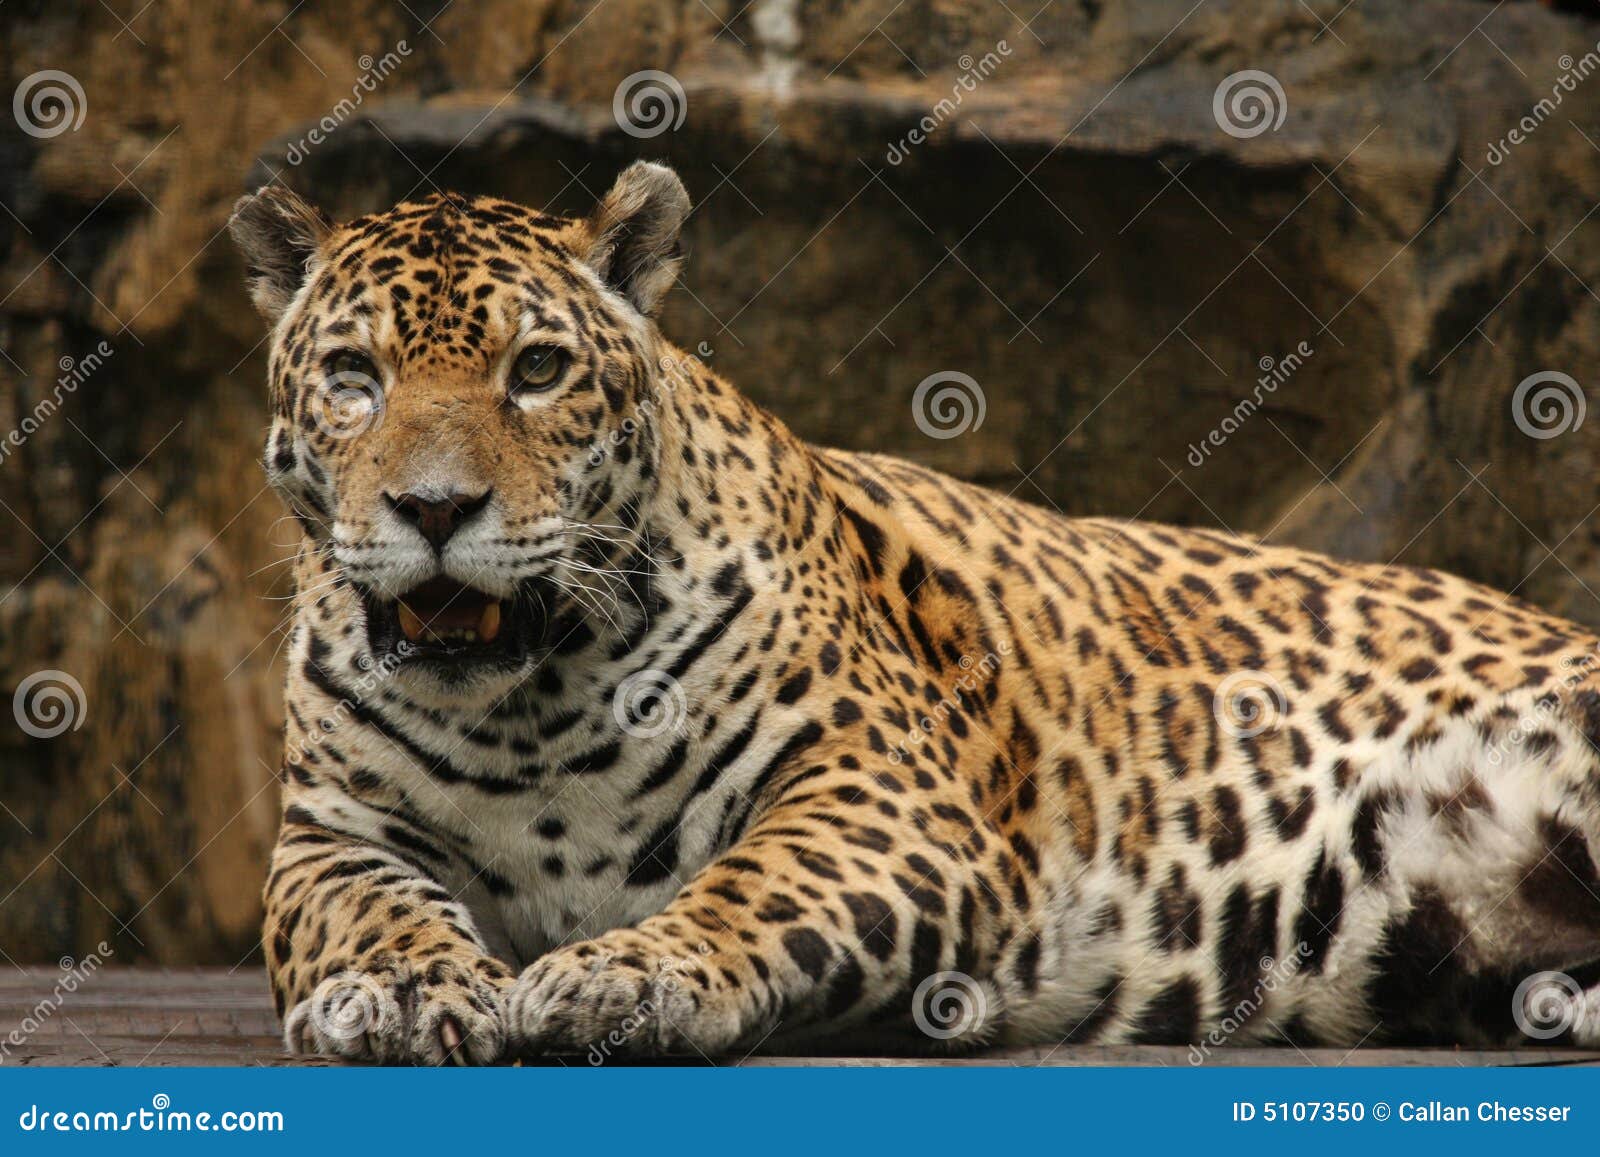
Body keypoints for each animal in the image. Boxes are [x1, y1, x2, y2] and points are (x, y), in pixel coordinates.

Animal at [228, 160, 1600, 1065]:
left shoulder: (878, 788)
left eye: (537, 370)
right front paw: (404, 987)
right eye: (353, 377)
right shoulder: (330, 834)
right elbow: (363, 909)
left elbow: (753, 885)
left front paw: (629, 972)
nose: (434, 507)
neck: (526, 713)